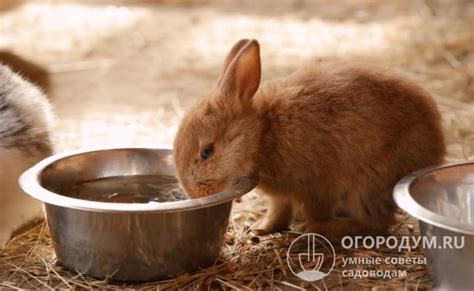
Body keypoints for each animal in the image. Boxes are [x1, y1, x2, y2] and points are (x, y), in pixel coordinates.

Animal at [173, 39, 444, 240]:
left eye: (207, 151)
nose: (196, 193)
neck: (263, 134)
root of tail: (436, 150)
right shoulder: (281, 196)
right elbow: (278, 211)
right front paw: (261, 228)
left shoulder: (316, 187)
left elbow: (315, 211)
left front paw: (311, 228)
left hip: (368, 185)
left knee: (377, 222)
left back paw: (328, 228)